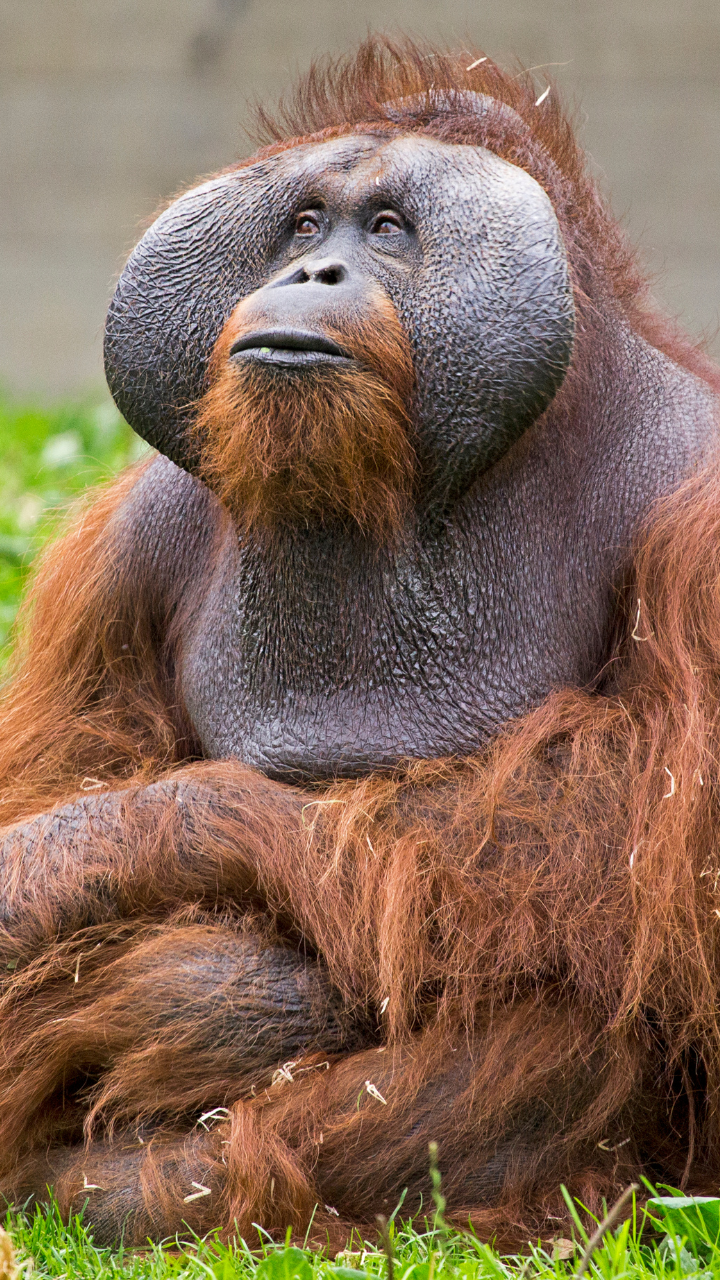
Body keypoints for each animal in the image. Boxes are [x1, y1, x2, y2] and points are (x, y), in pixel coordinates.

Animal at [0, 36, 720, 1249]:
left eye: (386, 227)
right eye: (301, 225)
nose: (313, 276)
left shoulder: (706, 505)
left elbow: (635, 834)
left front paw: (125, 836)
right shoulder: (122, 553)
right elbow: (70, 767)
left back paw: (152, 1186)